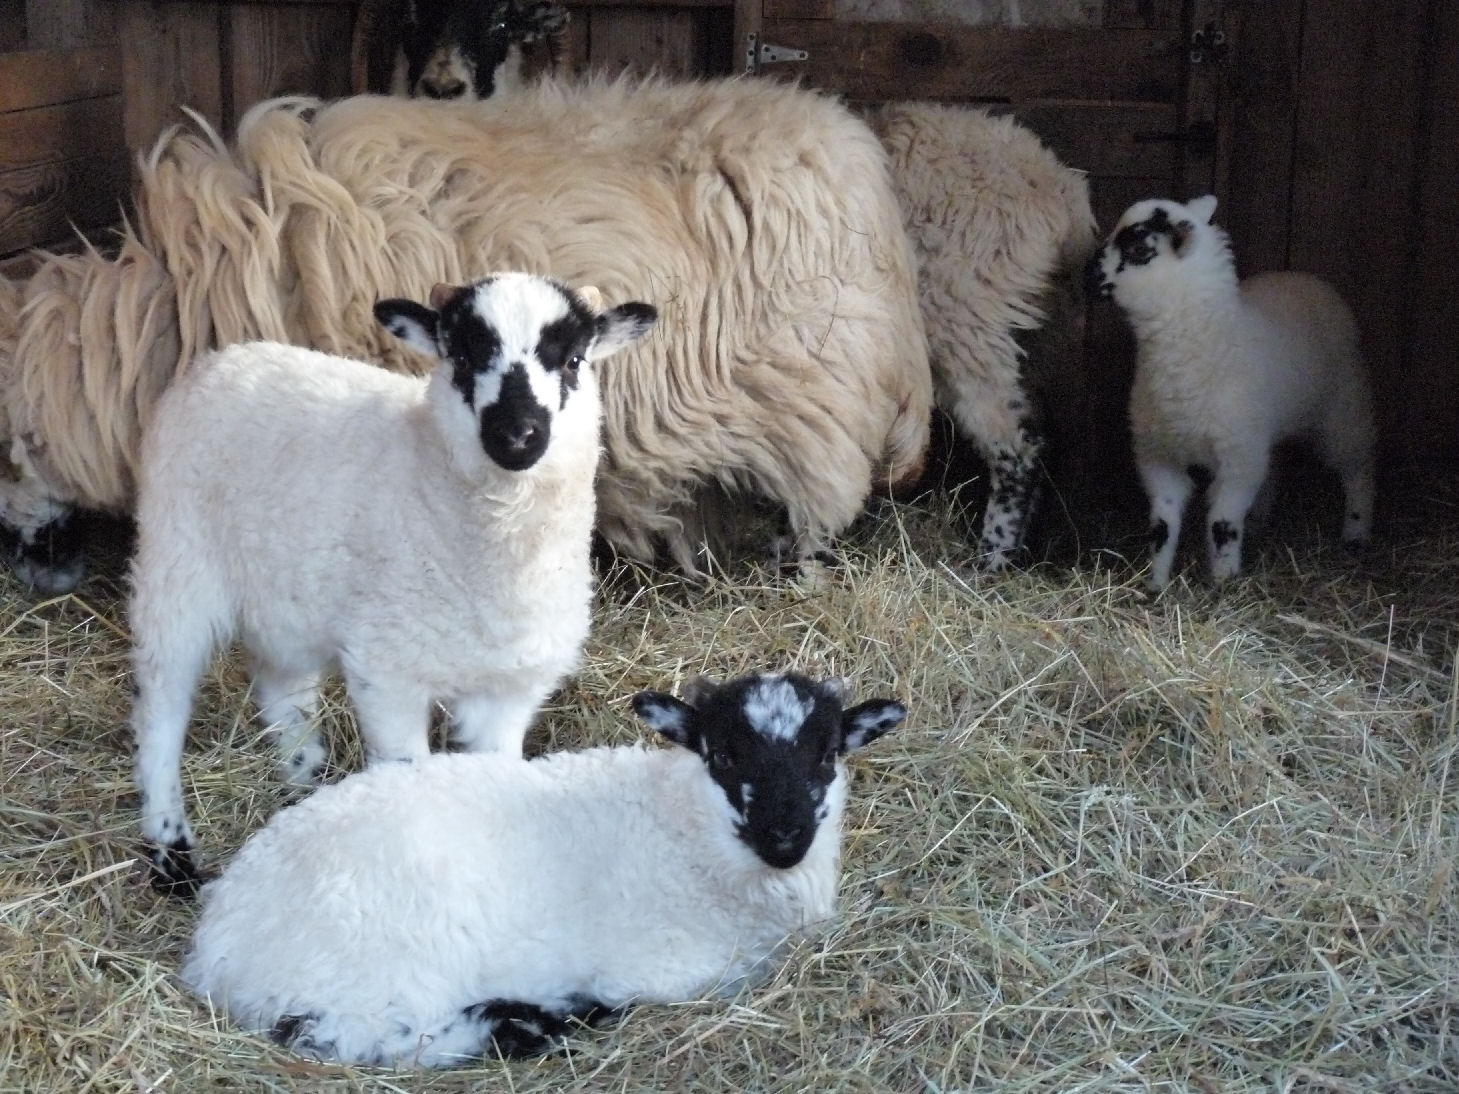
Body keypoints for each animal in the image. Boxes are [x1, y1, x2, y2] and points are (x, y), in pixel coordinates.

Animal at [130, 271, 657, 894]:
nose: (516, 435)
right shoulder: (388, 675)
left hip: (286, 594)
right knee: (161, 706)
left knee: (279, 683)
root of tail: (220, 358)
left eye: (574, 360)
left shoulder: (509, 689)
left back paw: (305, 774)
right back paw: (170, 849)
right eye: (460, 356)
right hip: (177, 562)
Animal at [180, 670, 906, 1066]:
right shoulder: (661, 972)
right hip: (379, 963)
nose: (785, 837)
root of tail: (215, 945)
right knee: (355, 1036)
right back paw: (522, 1023)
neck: (680, 831)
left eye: (826, 755)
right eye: (725, 755)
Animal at [1088, 195, 1376, 590]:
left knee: (1358, 465)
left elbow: (1221, 522)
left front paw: (1224, 582)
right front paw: (1155, 582)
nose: (1086, 274)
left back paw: (1357, 533)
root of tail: (1305, 277)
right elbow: (1162, 524)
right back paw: (1257, 523)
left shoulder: (1237, 457)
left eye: (1138, 249)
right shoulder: (1158, 453)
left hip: (1343, 408)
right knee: (1274, 466)